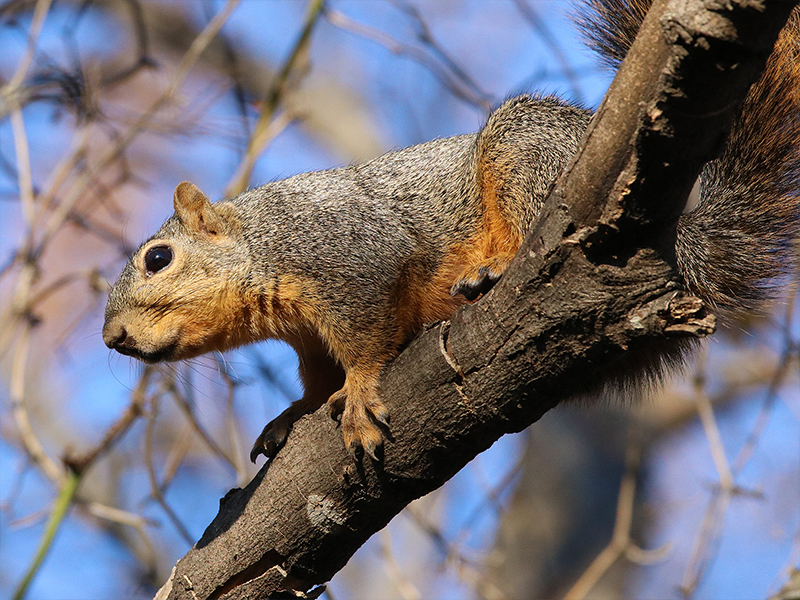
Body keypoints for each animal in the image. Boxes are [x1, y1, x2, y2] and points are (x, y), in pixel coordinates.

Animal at [103, 0, 800, 463]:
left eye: (158, 258)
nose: (113, 339)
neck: (266, 243)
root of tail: (682, 239)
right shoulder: (307, 335)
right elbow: (318, 376)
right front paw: (296, 413)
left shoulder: (352, 257)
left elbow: (366, 341)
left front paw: (359, 395)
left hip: (528, 157)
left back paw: (495, 270)